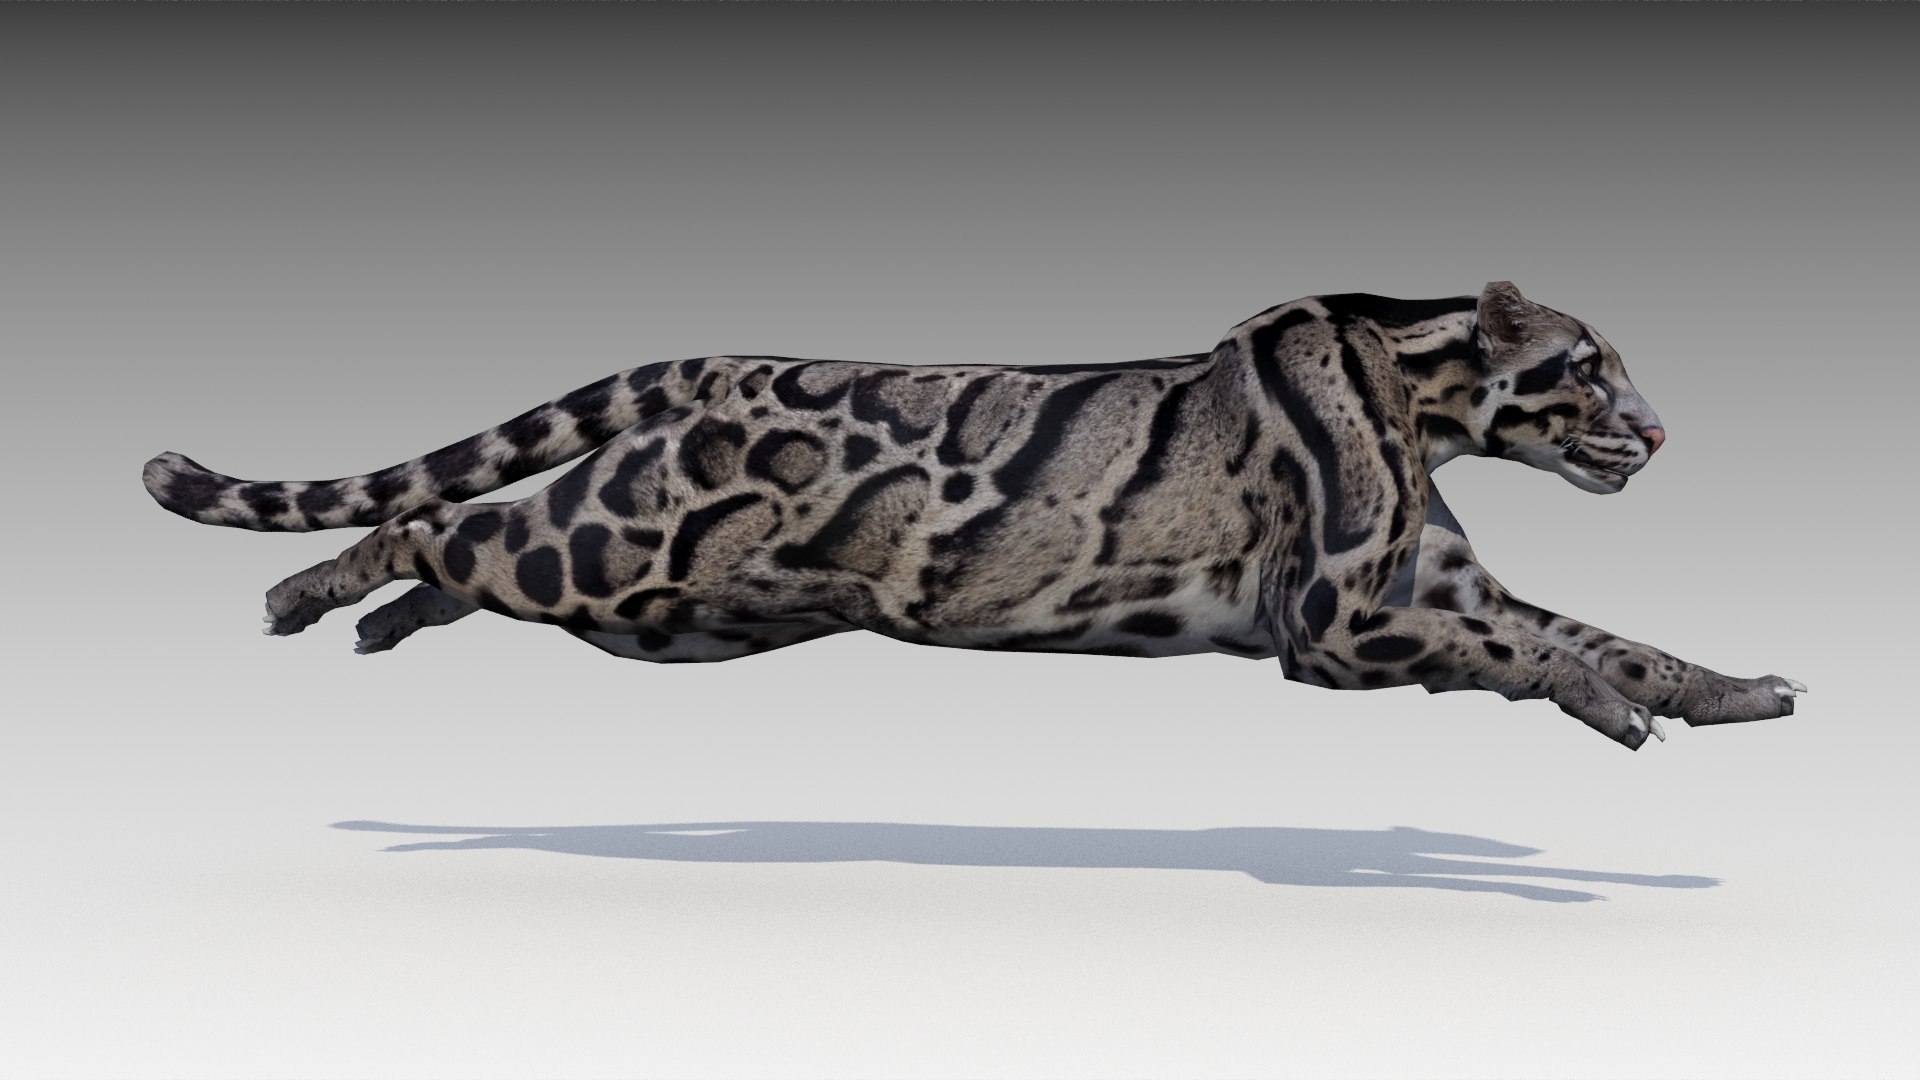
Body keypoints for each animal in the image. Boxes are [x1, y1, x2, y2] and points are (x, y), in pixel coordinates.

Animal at [142, 281, 1805, 750]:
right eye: (1588, 368)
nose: (1661, 427)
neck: (1422, 383)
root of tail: (712, 357)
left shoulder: (1435, 594)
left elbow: (1614, 637)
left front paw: (1725, 689)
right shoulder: (1338, 623)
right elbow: (1540, 656)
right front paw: (1611, 705)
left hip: (681, 618)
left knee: (465, 554)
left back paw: (382, 621)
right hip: (618, 553)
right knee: (439, 528)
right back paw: (312, 598)